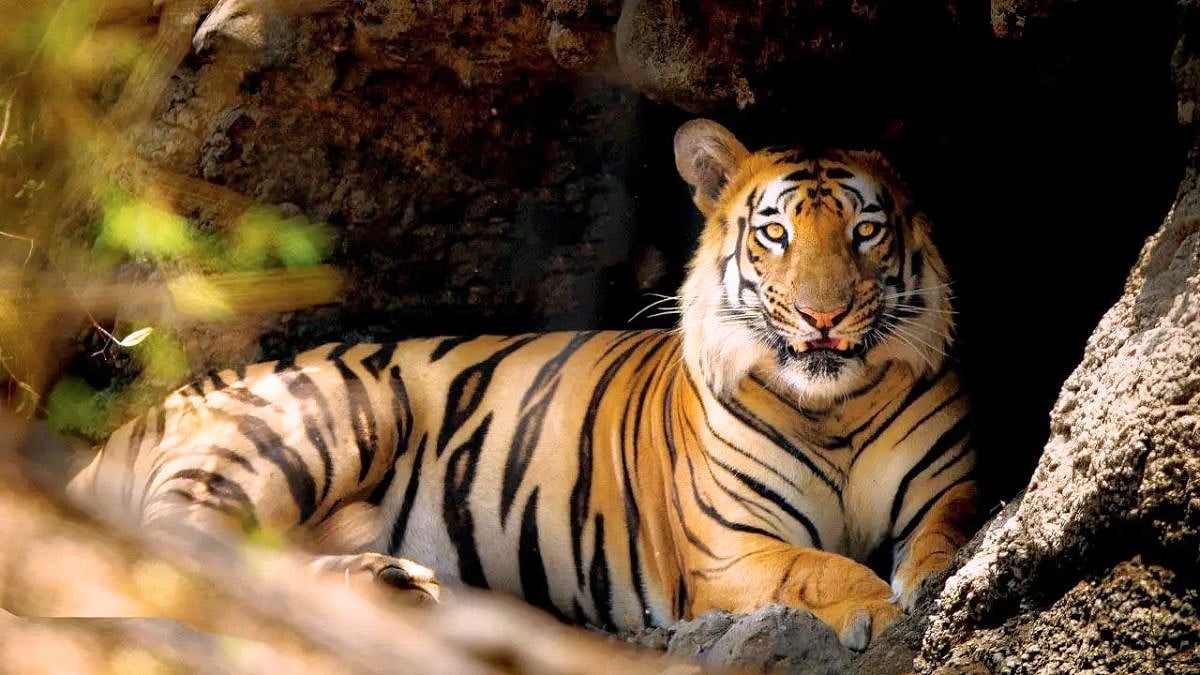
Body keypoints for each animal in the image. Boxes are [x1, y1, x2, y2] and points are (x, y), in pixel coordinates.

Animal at [67, 119, 977, 650]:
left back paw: (394, 583)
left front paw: (932, 585)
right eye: (776, 234)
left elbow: (947, 534)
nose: (825, 315)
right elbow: (821, 569)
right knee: (172, 557)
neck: (833, 408)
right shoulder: (732, 548)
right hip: (326, 417)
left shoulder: (949, 486)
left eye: (865, 232)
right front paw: (882, 611)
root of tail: (160, 405)